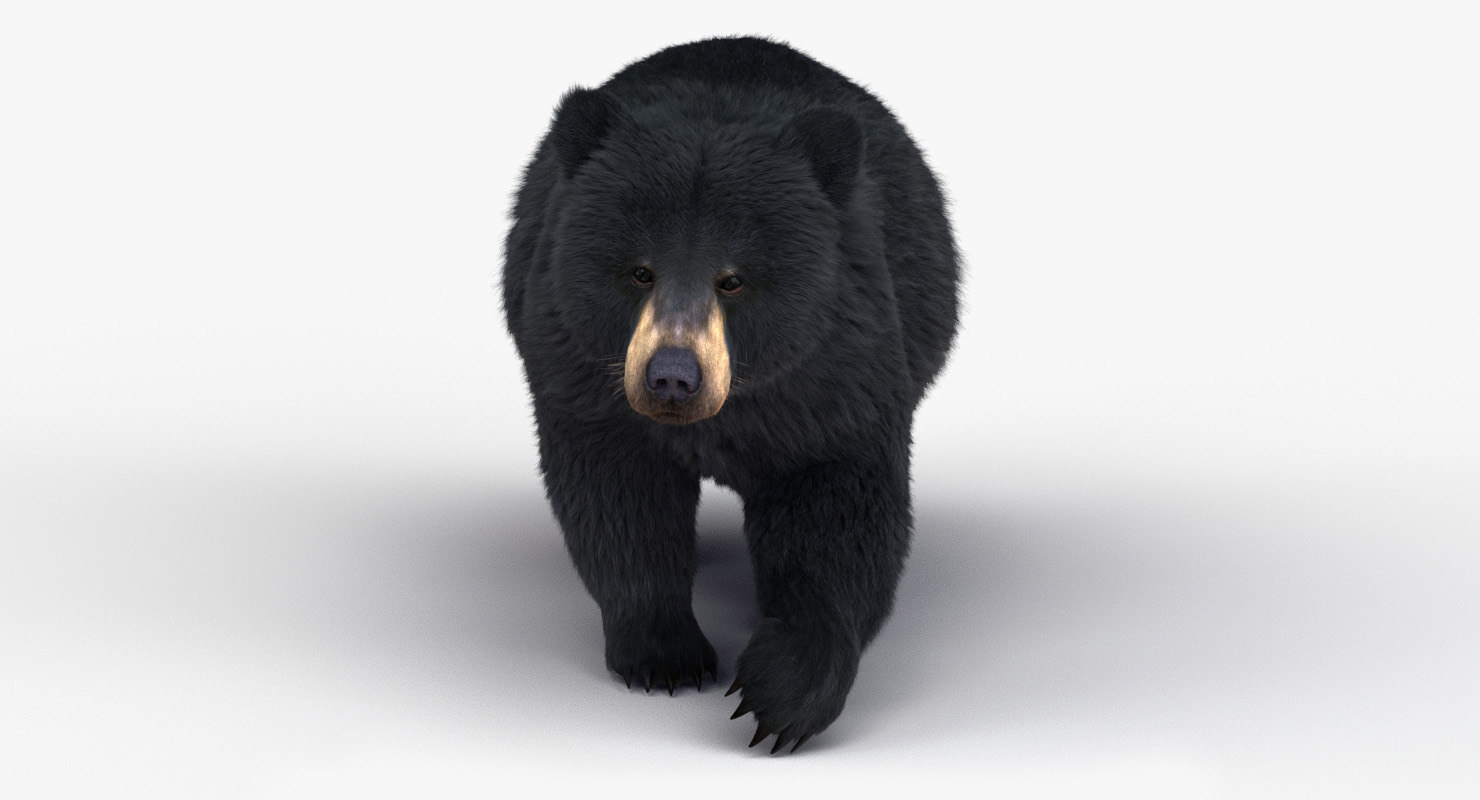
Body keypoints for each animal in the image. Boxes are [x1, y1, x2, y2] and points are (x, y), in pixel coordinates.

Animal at [501, 36, 959, 753]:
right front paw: (665, 656)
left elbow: (837, 512)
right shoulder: (582, 378)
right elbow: (619, 502)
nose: (672, 376)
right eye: (639, 270)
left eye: (734, 279)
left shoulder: (835, 374)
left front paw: (781, 695)